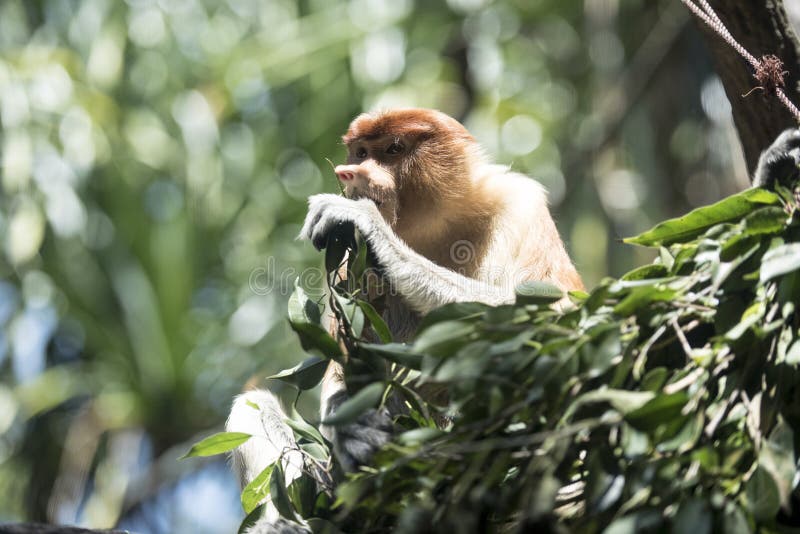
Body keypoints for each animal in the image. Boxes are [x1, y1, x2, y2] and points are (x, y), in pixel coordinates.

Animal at [226, 108, 585, 532]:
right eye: (362, 152)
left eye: (394, 150)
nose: (349, 172)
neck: (437, 226)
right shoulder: (348, 262)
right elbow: (340, 368)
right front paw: (351, 428)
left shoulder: (521, 204)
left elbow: (555, 321)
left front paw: (369, 223)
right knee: (252, 405)